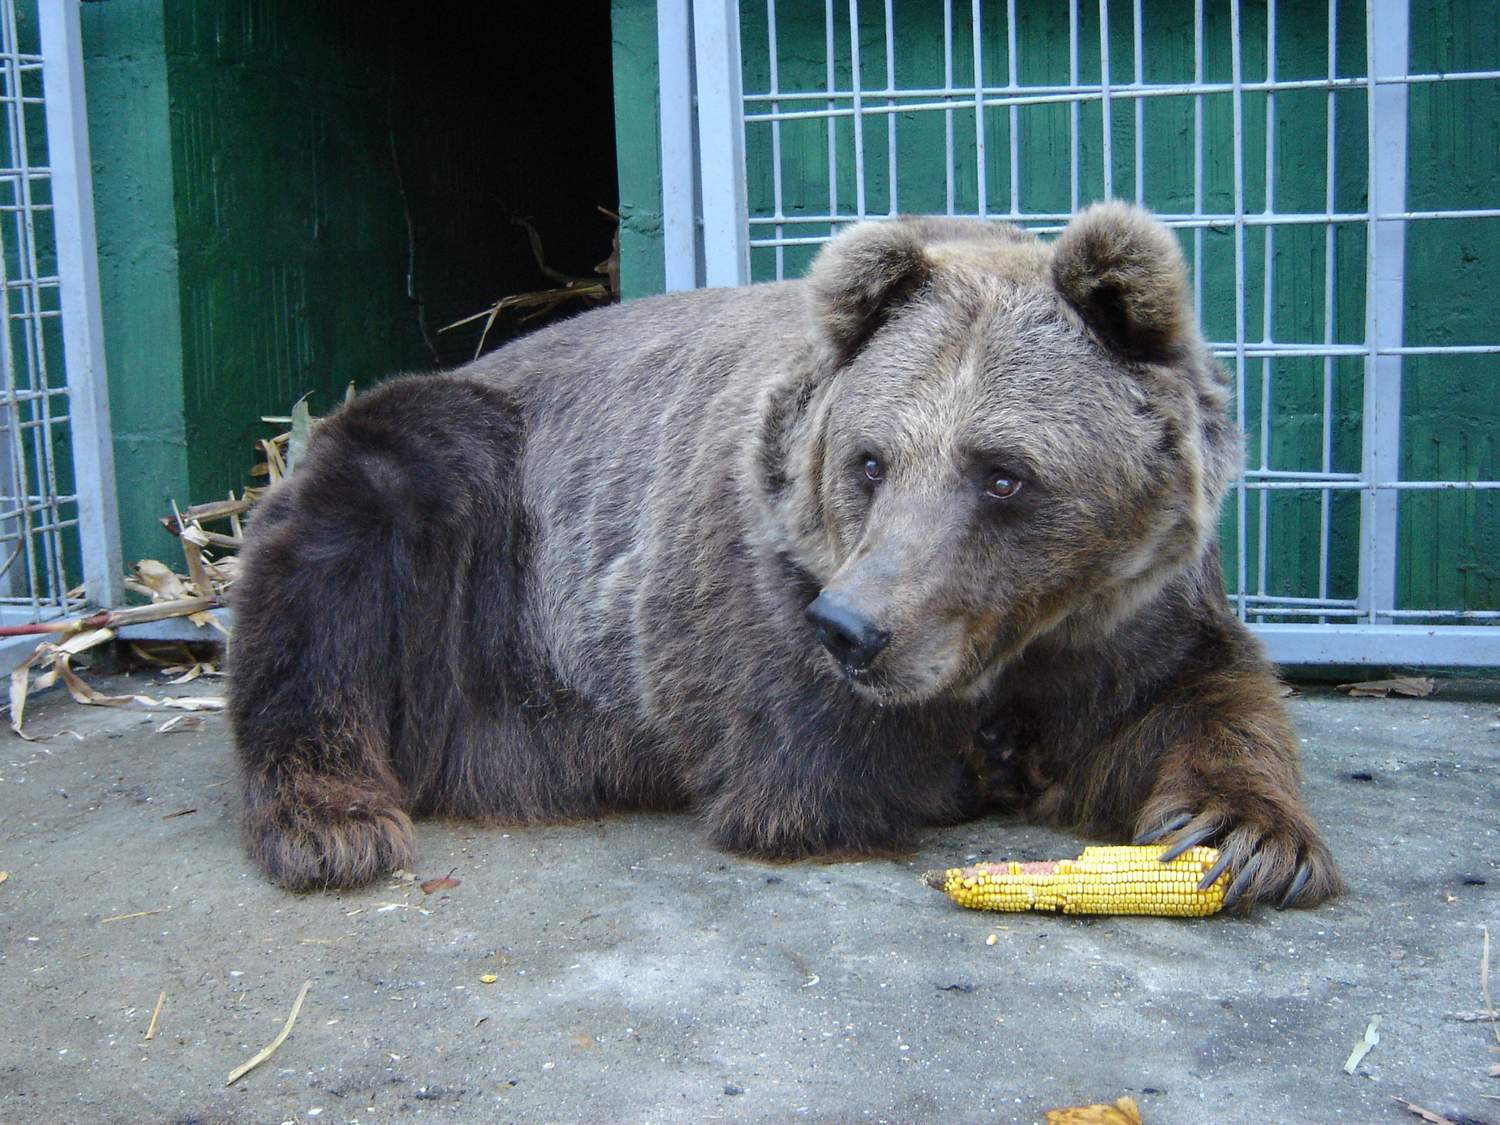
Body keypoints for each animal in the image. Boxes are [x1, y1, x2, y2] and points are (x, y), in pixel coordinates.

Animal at [228, 202, 1344, 909]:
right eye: (870, 459)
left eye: (1002, 474)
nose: (854, 628)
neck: (1025, 632)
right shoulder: (749, 601)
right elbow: (817, 772)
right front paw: (985, 756)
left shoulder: (1135, 614)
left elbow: (1203, 697)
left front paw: (1240, 835)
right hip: (484, 533)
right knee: (339, 561)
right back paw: (333, 817)